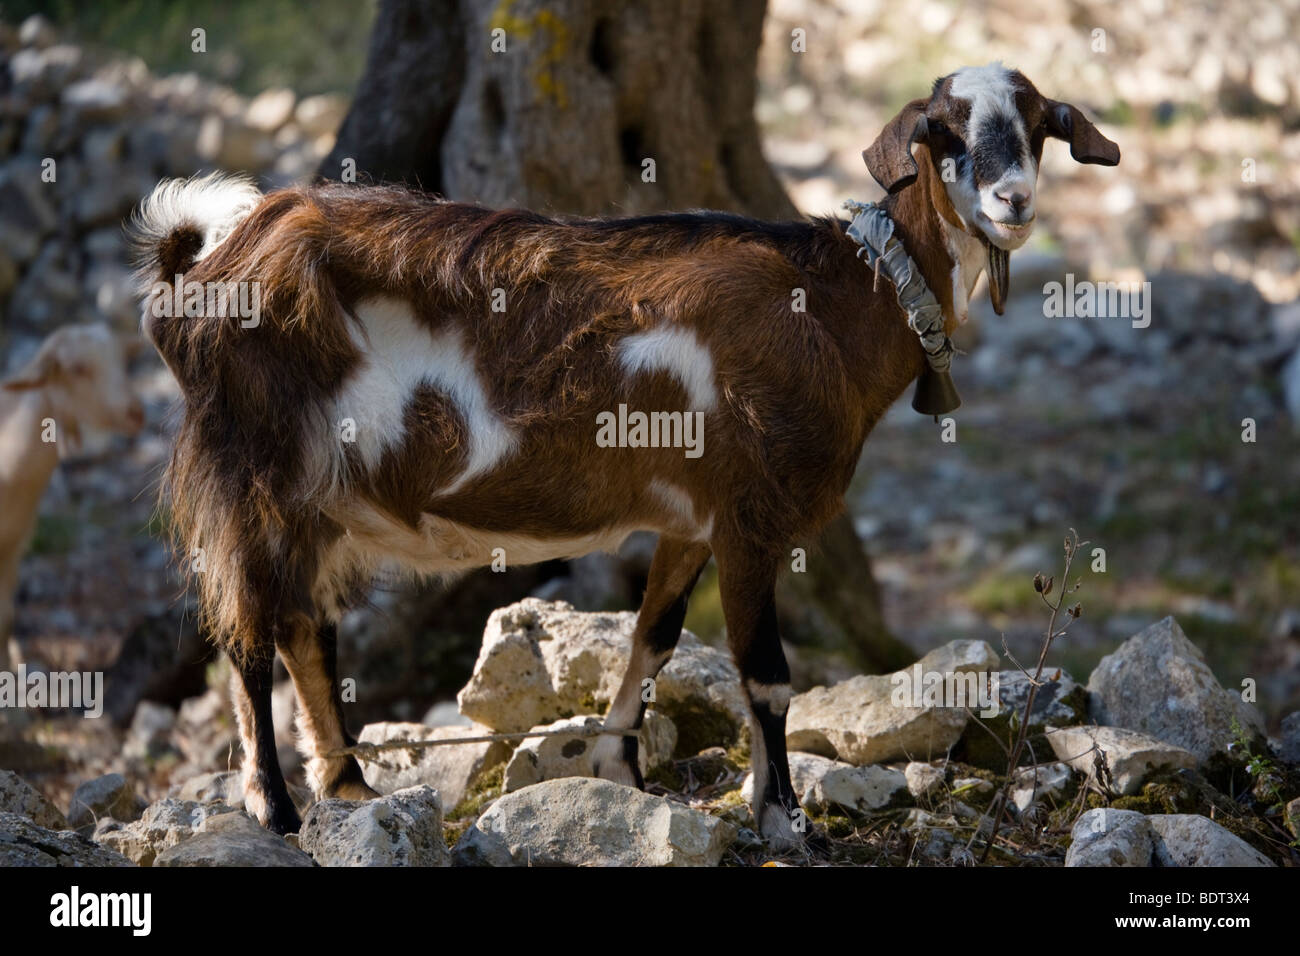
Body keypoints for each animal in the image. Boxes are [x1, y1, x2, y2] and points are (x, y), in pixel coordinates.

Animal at [131, 63, 1119, 842]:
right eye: (943, 129)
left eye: (1038, 124)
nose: (1012, 202)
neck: (839, 305)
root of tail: (205, 267)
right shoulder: (753, 519)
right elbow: (766, 678)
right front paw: (782, 820)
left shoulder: (693, 521)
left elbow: (655, 637)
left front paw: (620, 770)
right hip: (256, 474)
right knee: (250, 635)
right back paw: (275, 810)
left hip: (320, 498)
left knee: (303, 627)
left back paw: (347, 784)